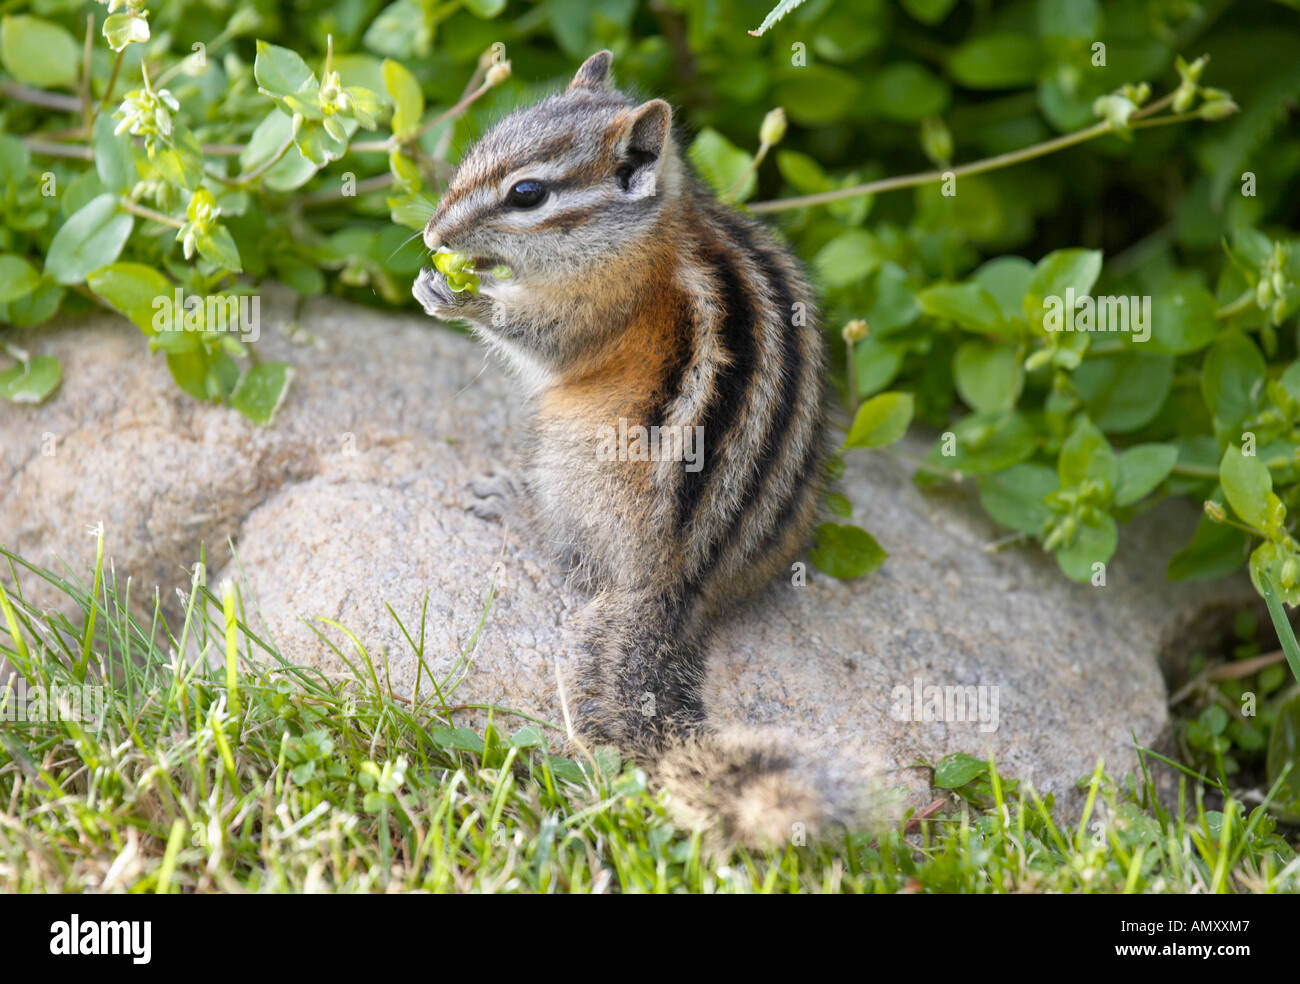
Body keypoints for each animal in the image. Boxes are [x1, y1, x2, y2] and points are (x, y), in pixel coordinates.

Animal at [414, 51, 851, 847]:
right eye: (478, 147)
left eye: (528, 194)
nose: (433, 233)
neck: (643, 231)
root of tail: (679, 576)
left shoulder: (594, 308)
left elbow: (538, 339)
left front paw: (459, 295)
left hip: (564, 452)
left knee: (567, 553)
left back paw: (511, 502)